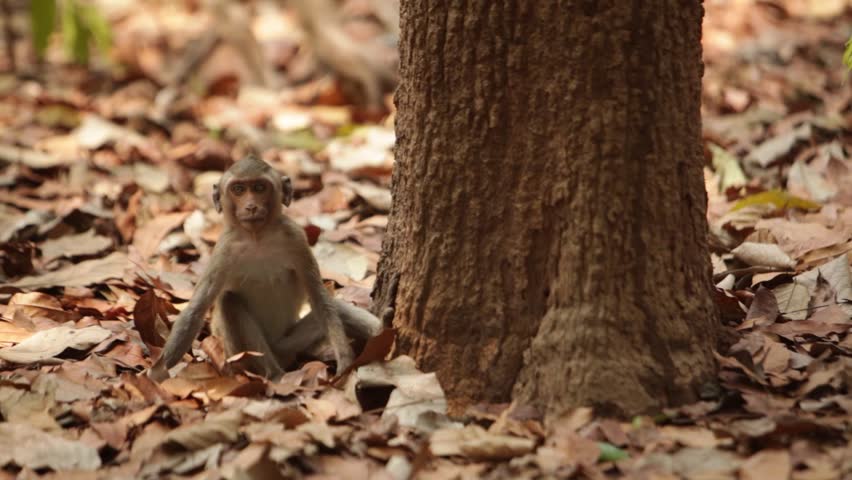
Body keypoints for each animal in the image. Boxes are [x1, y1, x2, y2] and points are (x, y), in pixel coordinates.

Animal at [148, 156, 382, 382]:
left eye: (260, 187)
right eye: (238, 189)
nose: (251, 206)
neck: (258, 238)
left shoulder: (296, 238)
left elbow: (320, 299)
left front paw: (345, 361)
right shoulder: (224, 249)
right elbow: (196, 310)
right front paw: (156, 373)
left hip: (287, 344)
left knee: (335, 308)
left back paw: (380, 333)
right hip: (236, 355)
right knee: (229, 302)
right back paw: (275, 375)